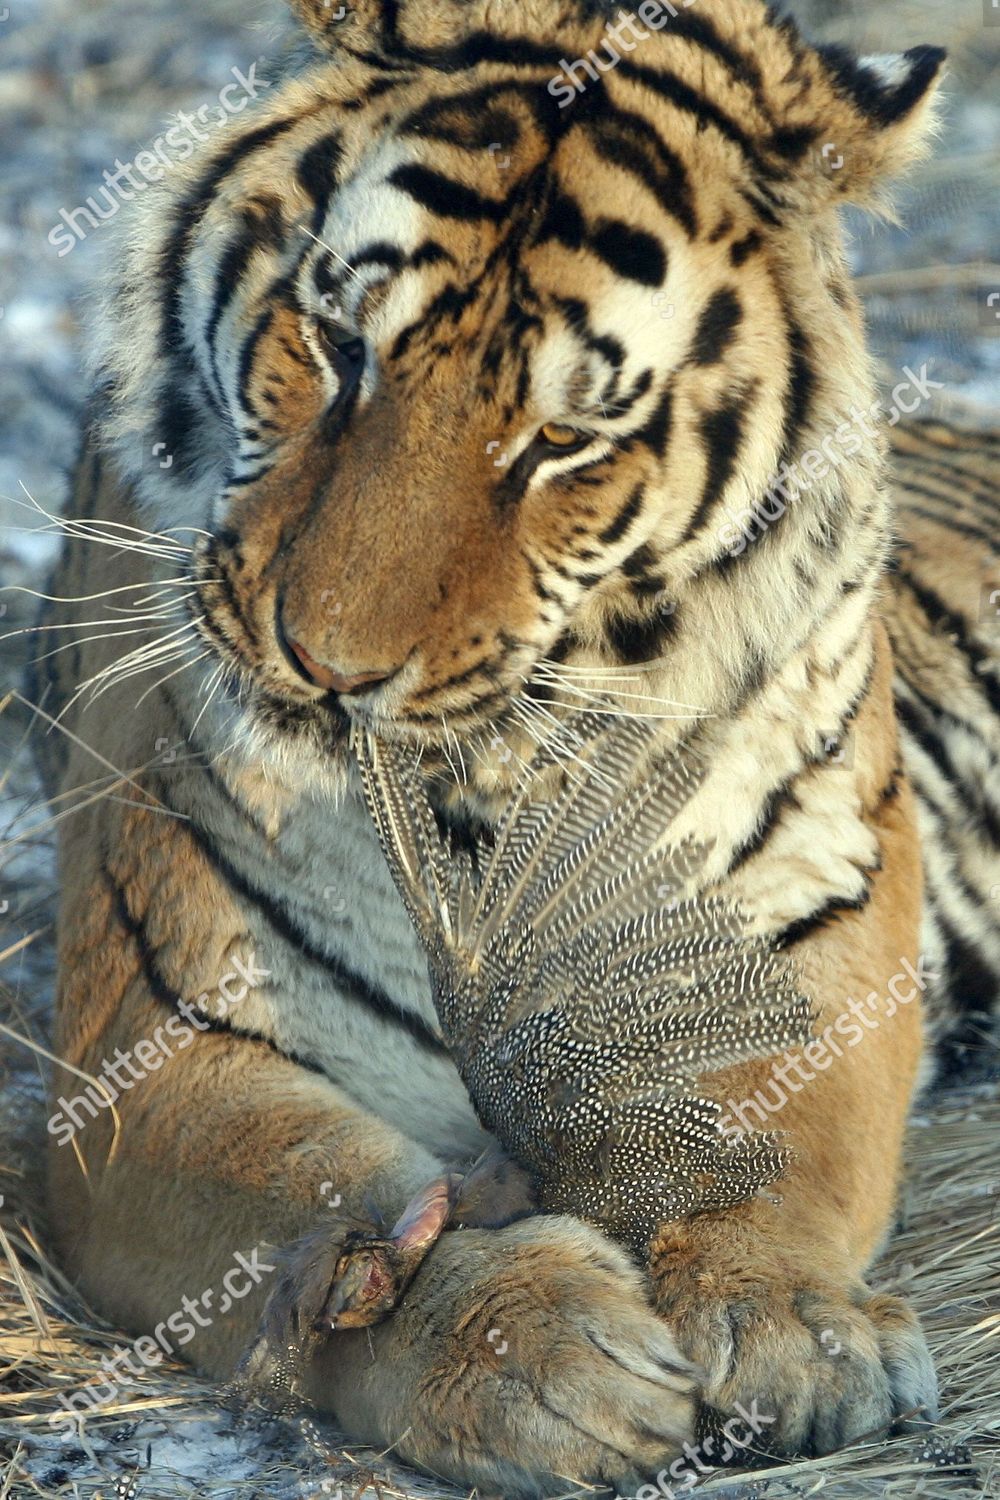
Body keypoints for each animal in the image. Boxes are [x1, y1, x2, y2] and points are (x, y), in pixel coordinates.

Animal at [33, 0, 1000, 1493]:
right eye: (336, 343)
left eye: (562, 442)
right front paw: (537, 1353)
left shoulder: (809, 934)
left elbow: (769, 1139)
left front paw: (793, 1331)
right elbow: (310, 1197)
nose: (326, 665)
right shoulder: (148, 1051)